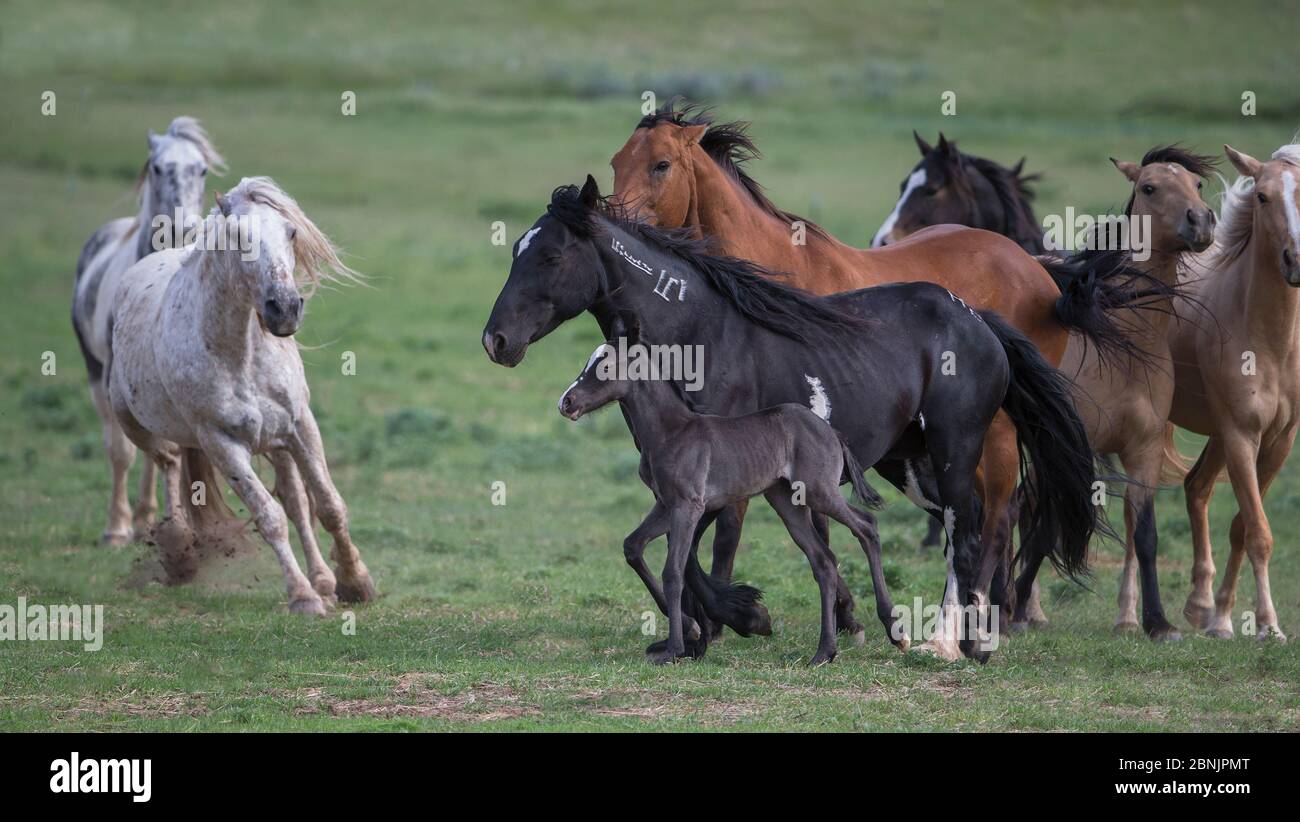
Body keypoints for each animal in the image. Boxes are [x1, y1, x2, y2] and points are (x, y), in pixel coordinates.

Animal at [72, 116, 226, 545]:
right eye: (157, 168)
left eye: (201, 169)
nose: (184, 228)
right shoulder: (111, 377)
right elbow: (121, 451)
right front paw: (116, 527)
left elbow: (164, 451)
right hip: (96, 371)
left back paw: (147, 518)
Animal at [105, 177, 376, 614]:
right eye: (238, 237)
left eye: (291, 232)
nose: (285, 308)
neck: (239, 354)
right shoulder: (221, 443)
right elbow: (269, 517)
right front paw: (302, 597)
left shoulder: (300, 426)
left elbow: (328, 505)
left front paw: (354, 581)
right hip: (139, 427)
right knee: (168, 463)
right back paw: (179, 550)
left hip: (277, 442)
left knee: (298, 504)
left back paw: (323, 579)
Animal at [558, 314, 906, 665]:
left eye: (604, 366)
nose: (566, 402)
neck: (672, 431)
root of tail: (830, 431)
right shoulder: (666, 505)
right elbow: (633, 547)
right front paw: (693, 628)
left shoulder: (689, 505)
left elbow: (674, 571)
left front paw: (674, 649)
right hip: (786, 500)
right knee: (823, 561)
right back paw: (824, 652)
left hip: (818, 491)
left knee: (866, 526)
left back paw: (894, 631)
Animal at [1010, 146, 1218, 640]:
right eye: (1149, 187)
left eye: (1197, 184)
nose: (1201, 222)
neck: (1121, 339)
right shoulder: (1068, 448)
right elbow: (1045, 530)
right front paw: (1010, 607)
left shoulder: (1142, 450)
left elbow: (1146, 536)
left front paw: (1158, 623)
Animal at [1165, 141, 1300, 642]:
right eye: (1261, 196)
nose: (1296, 261)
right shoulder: (1242, 435)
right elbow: (1259, 532)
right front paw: (1270, 626)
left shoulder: (1279, 440)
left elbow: (1243, 526)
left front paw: (1224, 617)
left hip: (1216, 436)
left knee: (1196, 487)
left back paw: (1202, 606)